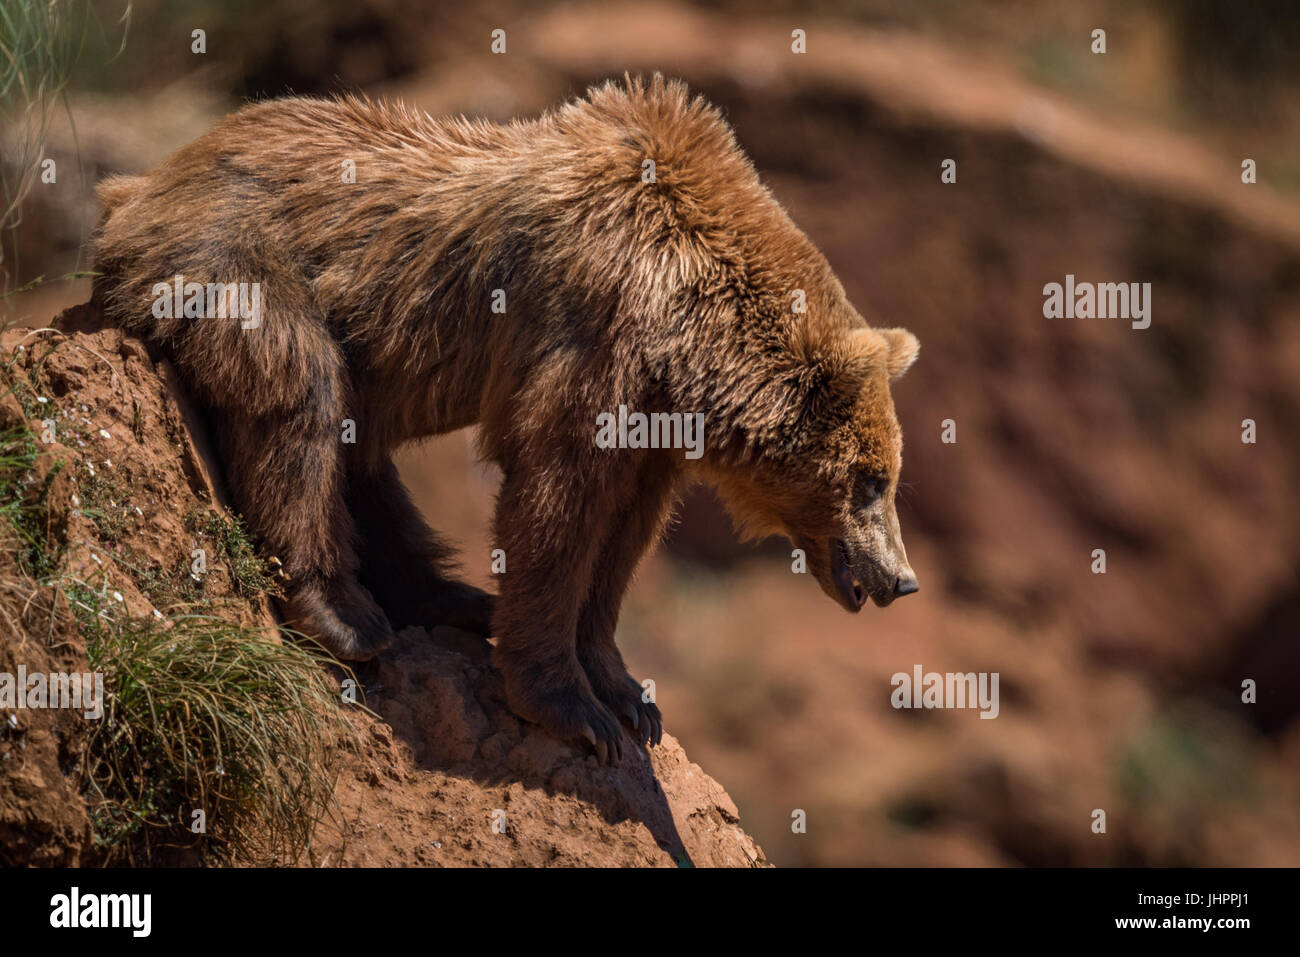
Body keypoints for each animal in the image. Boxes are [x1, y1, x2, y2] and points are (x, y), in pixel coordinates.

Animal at [90, 75, 920, 764]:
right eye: (873, 480)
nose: (902, 579)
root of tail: (139, 184)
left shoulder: (652, 426)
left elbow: (622, 536)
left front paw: (627, 693)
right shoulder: (595, 336)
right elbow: (555, 504)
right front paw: (576, 710)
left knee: (364, 458)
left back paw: (449, 598)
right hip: (239, 262)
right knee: (302, 402)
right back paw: (345, 614)